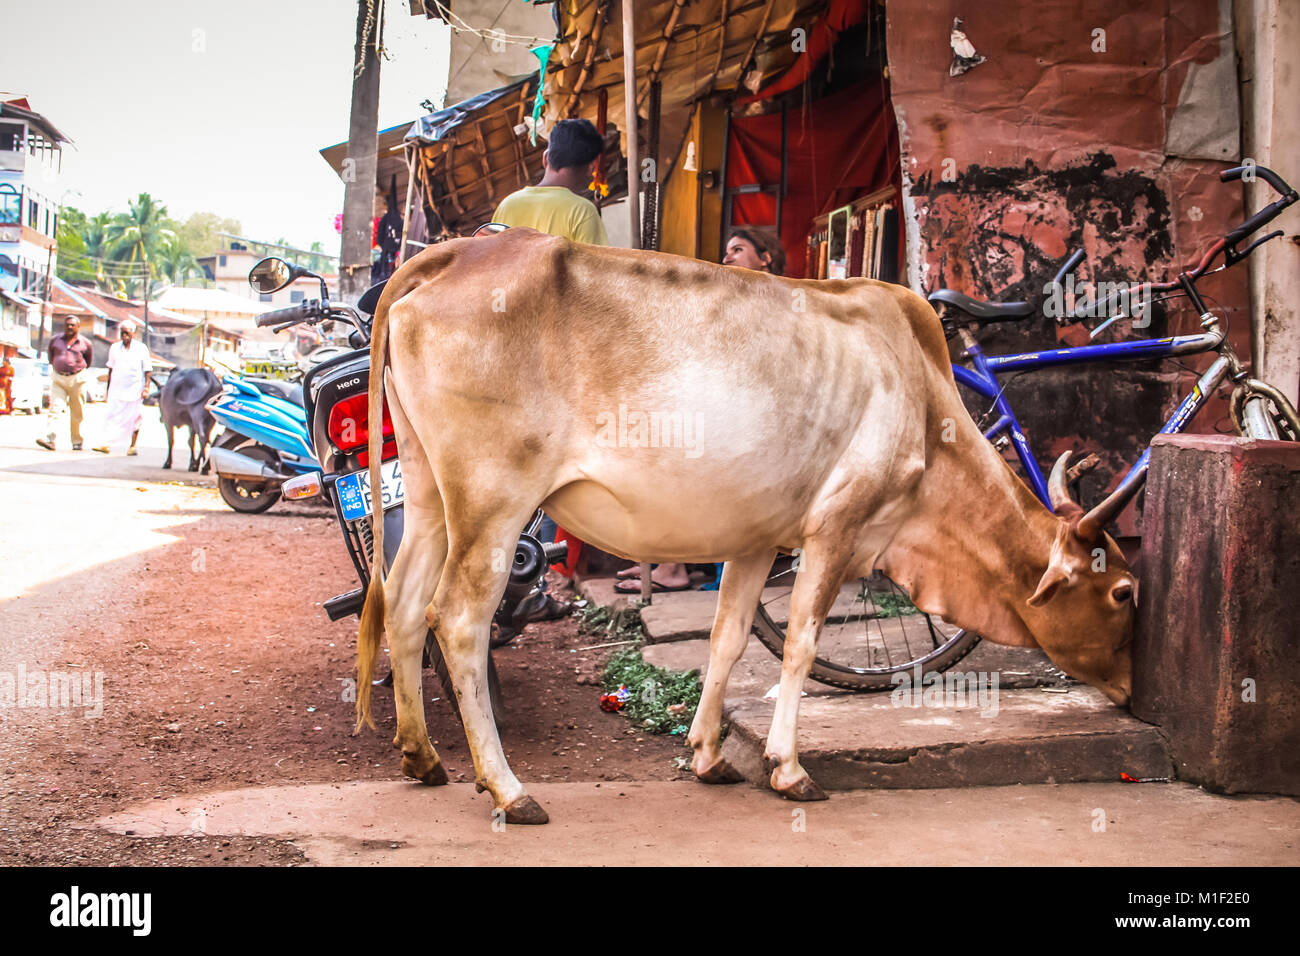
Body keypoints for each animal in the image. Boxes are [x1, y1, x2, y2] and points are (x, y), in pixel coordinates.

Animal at [354, 228, 1136, 824]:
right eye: (1123, 592)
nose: (1133, 690)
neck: (921, 397)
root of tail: (458, 253)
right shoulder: (835, 527)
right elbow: (799, 646)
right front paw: (788, 768)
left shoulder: (757, 539)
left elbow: (727, 641)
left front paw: (706, 755)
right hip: (493, 502)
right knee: (457, 619)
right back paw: (509, 790)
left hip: (429, 494)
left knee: (401, 604)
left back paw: (422, 757)